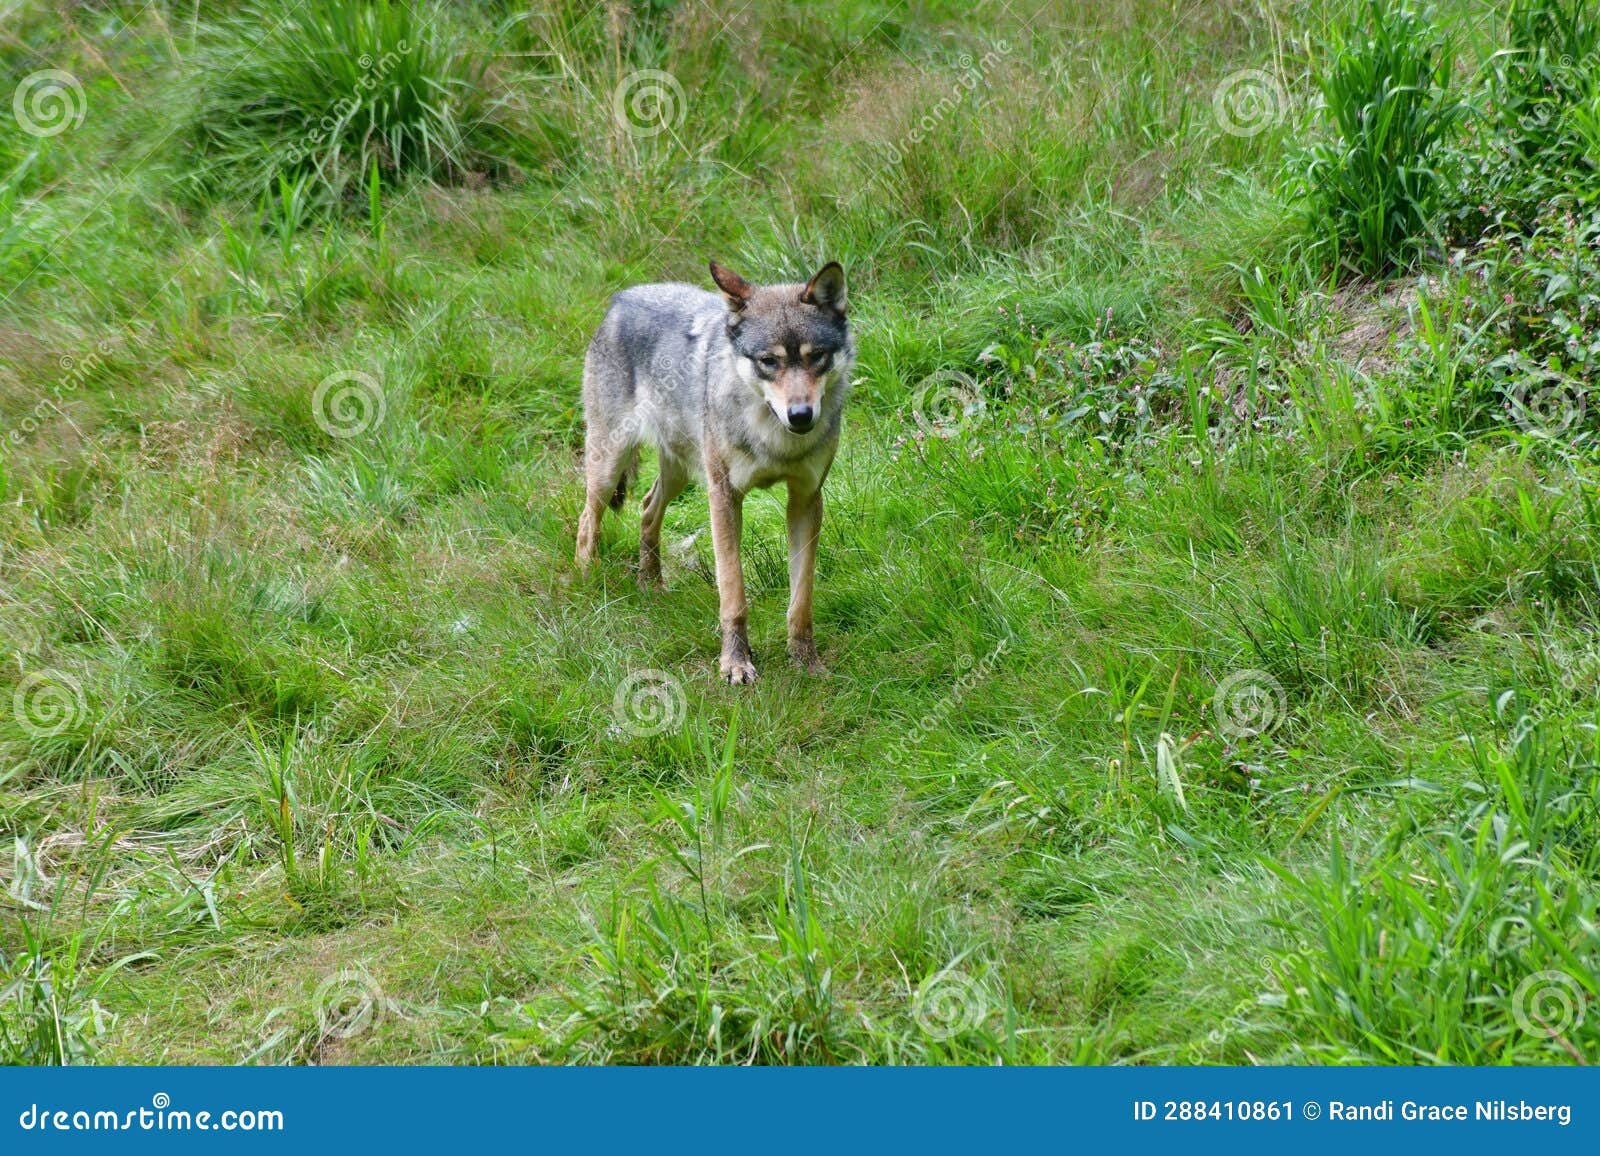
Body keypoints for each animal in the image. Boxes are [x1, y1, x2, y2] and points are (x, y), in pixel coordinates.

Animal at [575, 260, 853, 684]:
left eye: (816, 356)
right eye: (768, 361)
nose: (801, 415)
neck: (774, 439)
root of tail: (623, 297)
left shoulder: (806, 499)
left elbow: (801, 600)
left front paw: (806, 662)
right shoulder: (724, 497)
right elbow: (733, 594)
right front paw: (736, 664)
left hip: (682, 473)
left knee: (646, 507)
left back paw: (650, 585)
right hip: (610, 467)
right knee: (587, 520)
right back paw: (587, 583)